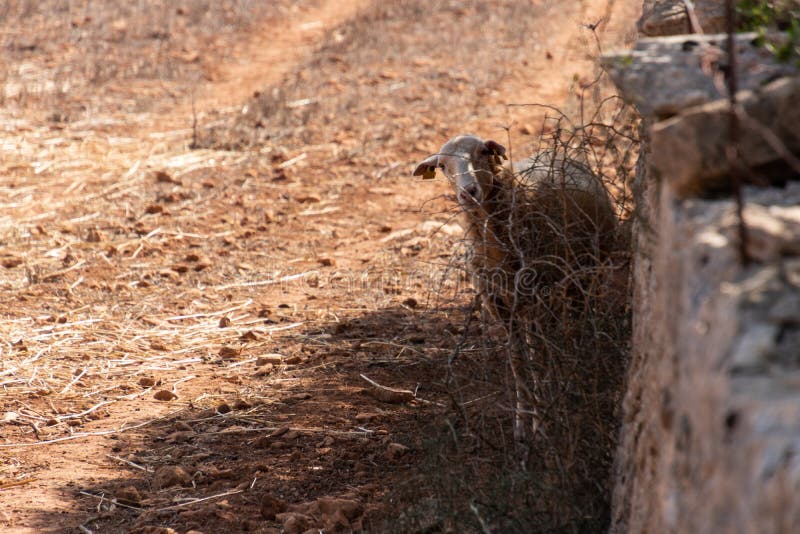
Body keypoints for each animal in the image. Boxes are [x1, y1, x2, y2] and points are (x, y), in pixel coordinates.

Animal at [413, 134, 617, 442]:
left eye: (483, 152)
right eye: (443, 166)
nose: (469, 192)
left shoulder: (539, 296)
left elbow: (537, 356)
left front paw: (542, 423)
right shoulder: (496, 302)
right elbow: (518, 359)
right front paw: (523, 424)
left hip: (585, 273)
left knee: (577, 321)